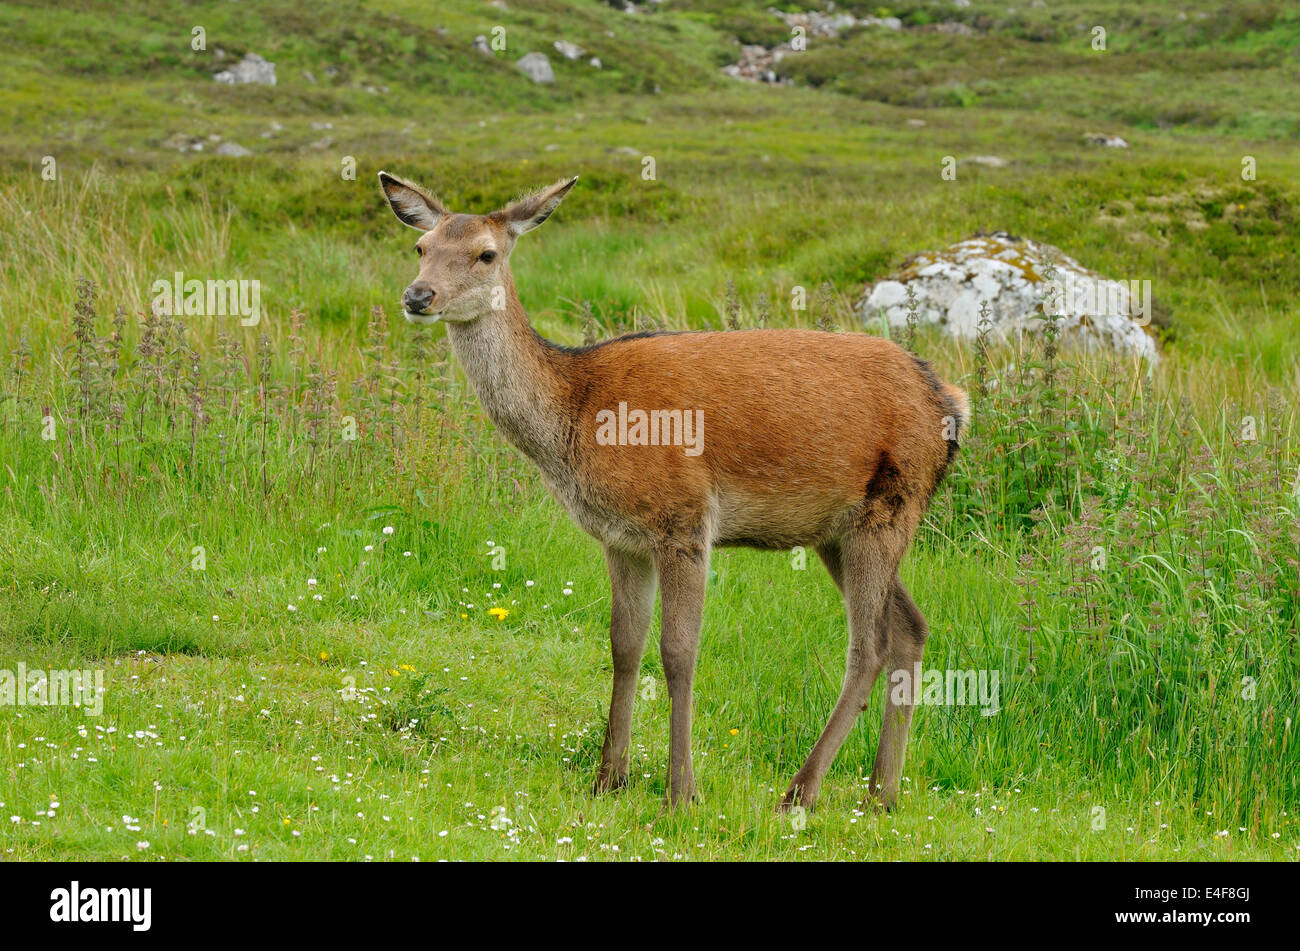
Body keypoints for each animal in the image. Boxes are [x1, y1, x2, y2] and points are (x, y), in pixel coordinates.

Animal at [378, 170, 969, 813]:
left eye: (486, 253)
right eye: (421, 247)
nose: (418, 296)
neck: (576, 416)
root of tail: (952, 402)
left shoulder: (682, 520)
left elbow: (678, 652)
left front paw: (680, 790)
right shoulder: (619, 537)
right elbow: (624, 645)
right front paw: (608, 778)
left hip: (889, 506)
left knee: (869, 646)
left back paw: (800, 790)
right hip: (838, 531)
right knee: (911, 627)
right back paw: (882, 793)